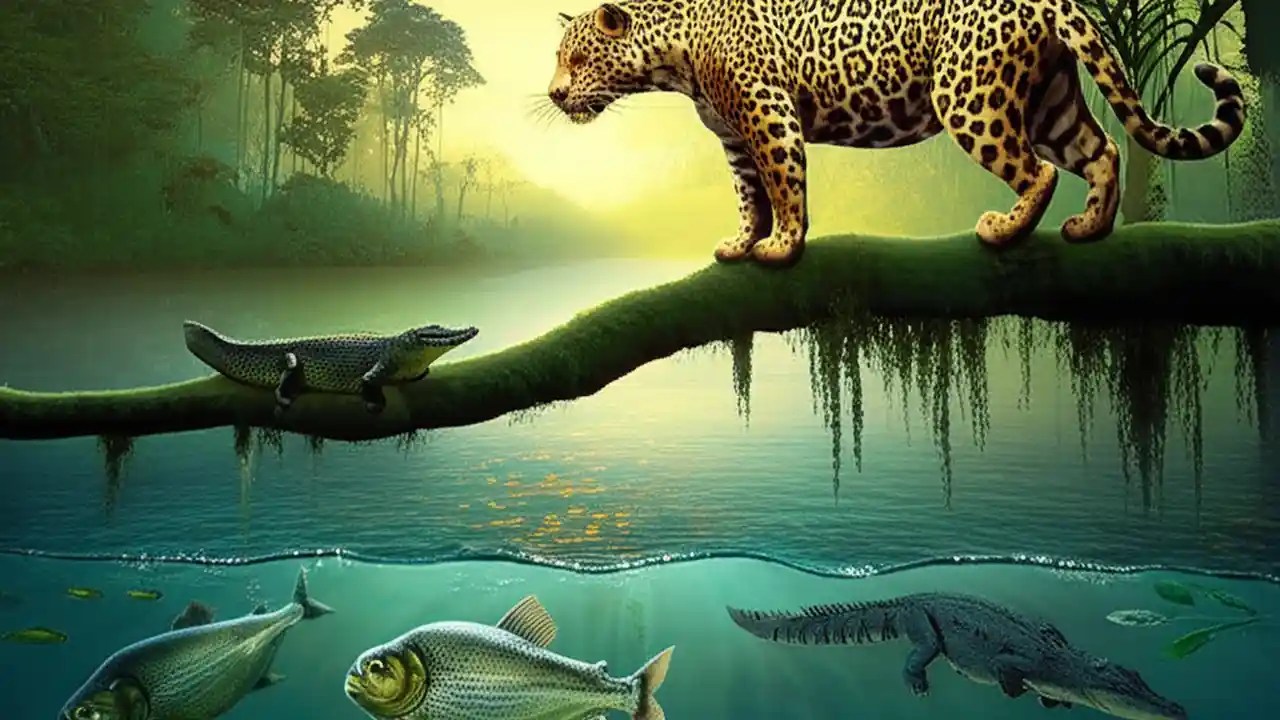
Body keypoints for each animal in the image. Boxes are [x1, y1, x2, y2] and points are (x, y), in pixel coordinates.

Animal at [546, 0, 1246, 268]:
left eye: (576, 59)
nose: (553, 94)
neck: (675, 58)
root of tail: (1047, 0)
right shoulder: (734, 139)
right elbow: (750, 196)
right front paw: (742, 242)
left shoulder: (769, 116)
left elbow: (785, 188)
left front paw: (782, 247)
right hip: (1050, 101)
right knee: (1100, 151)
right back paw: (1090, 228)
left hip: (969, 98)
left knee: (1041, 169)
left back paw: (1003, 230)